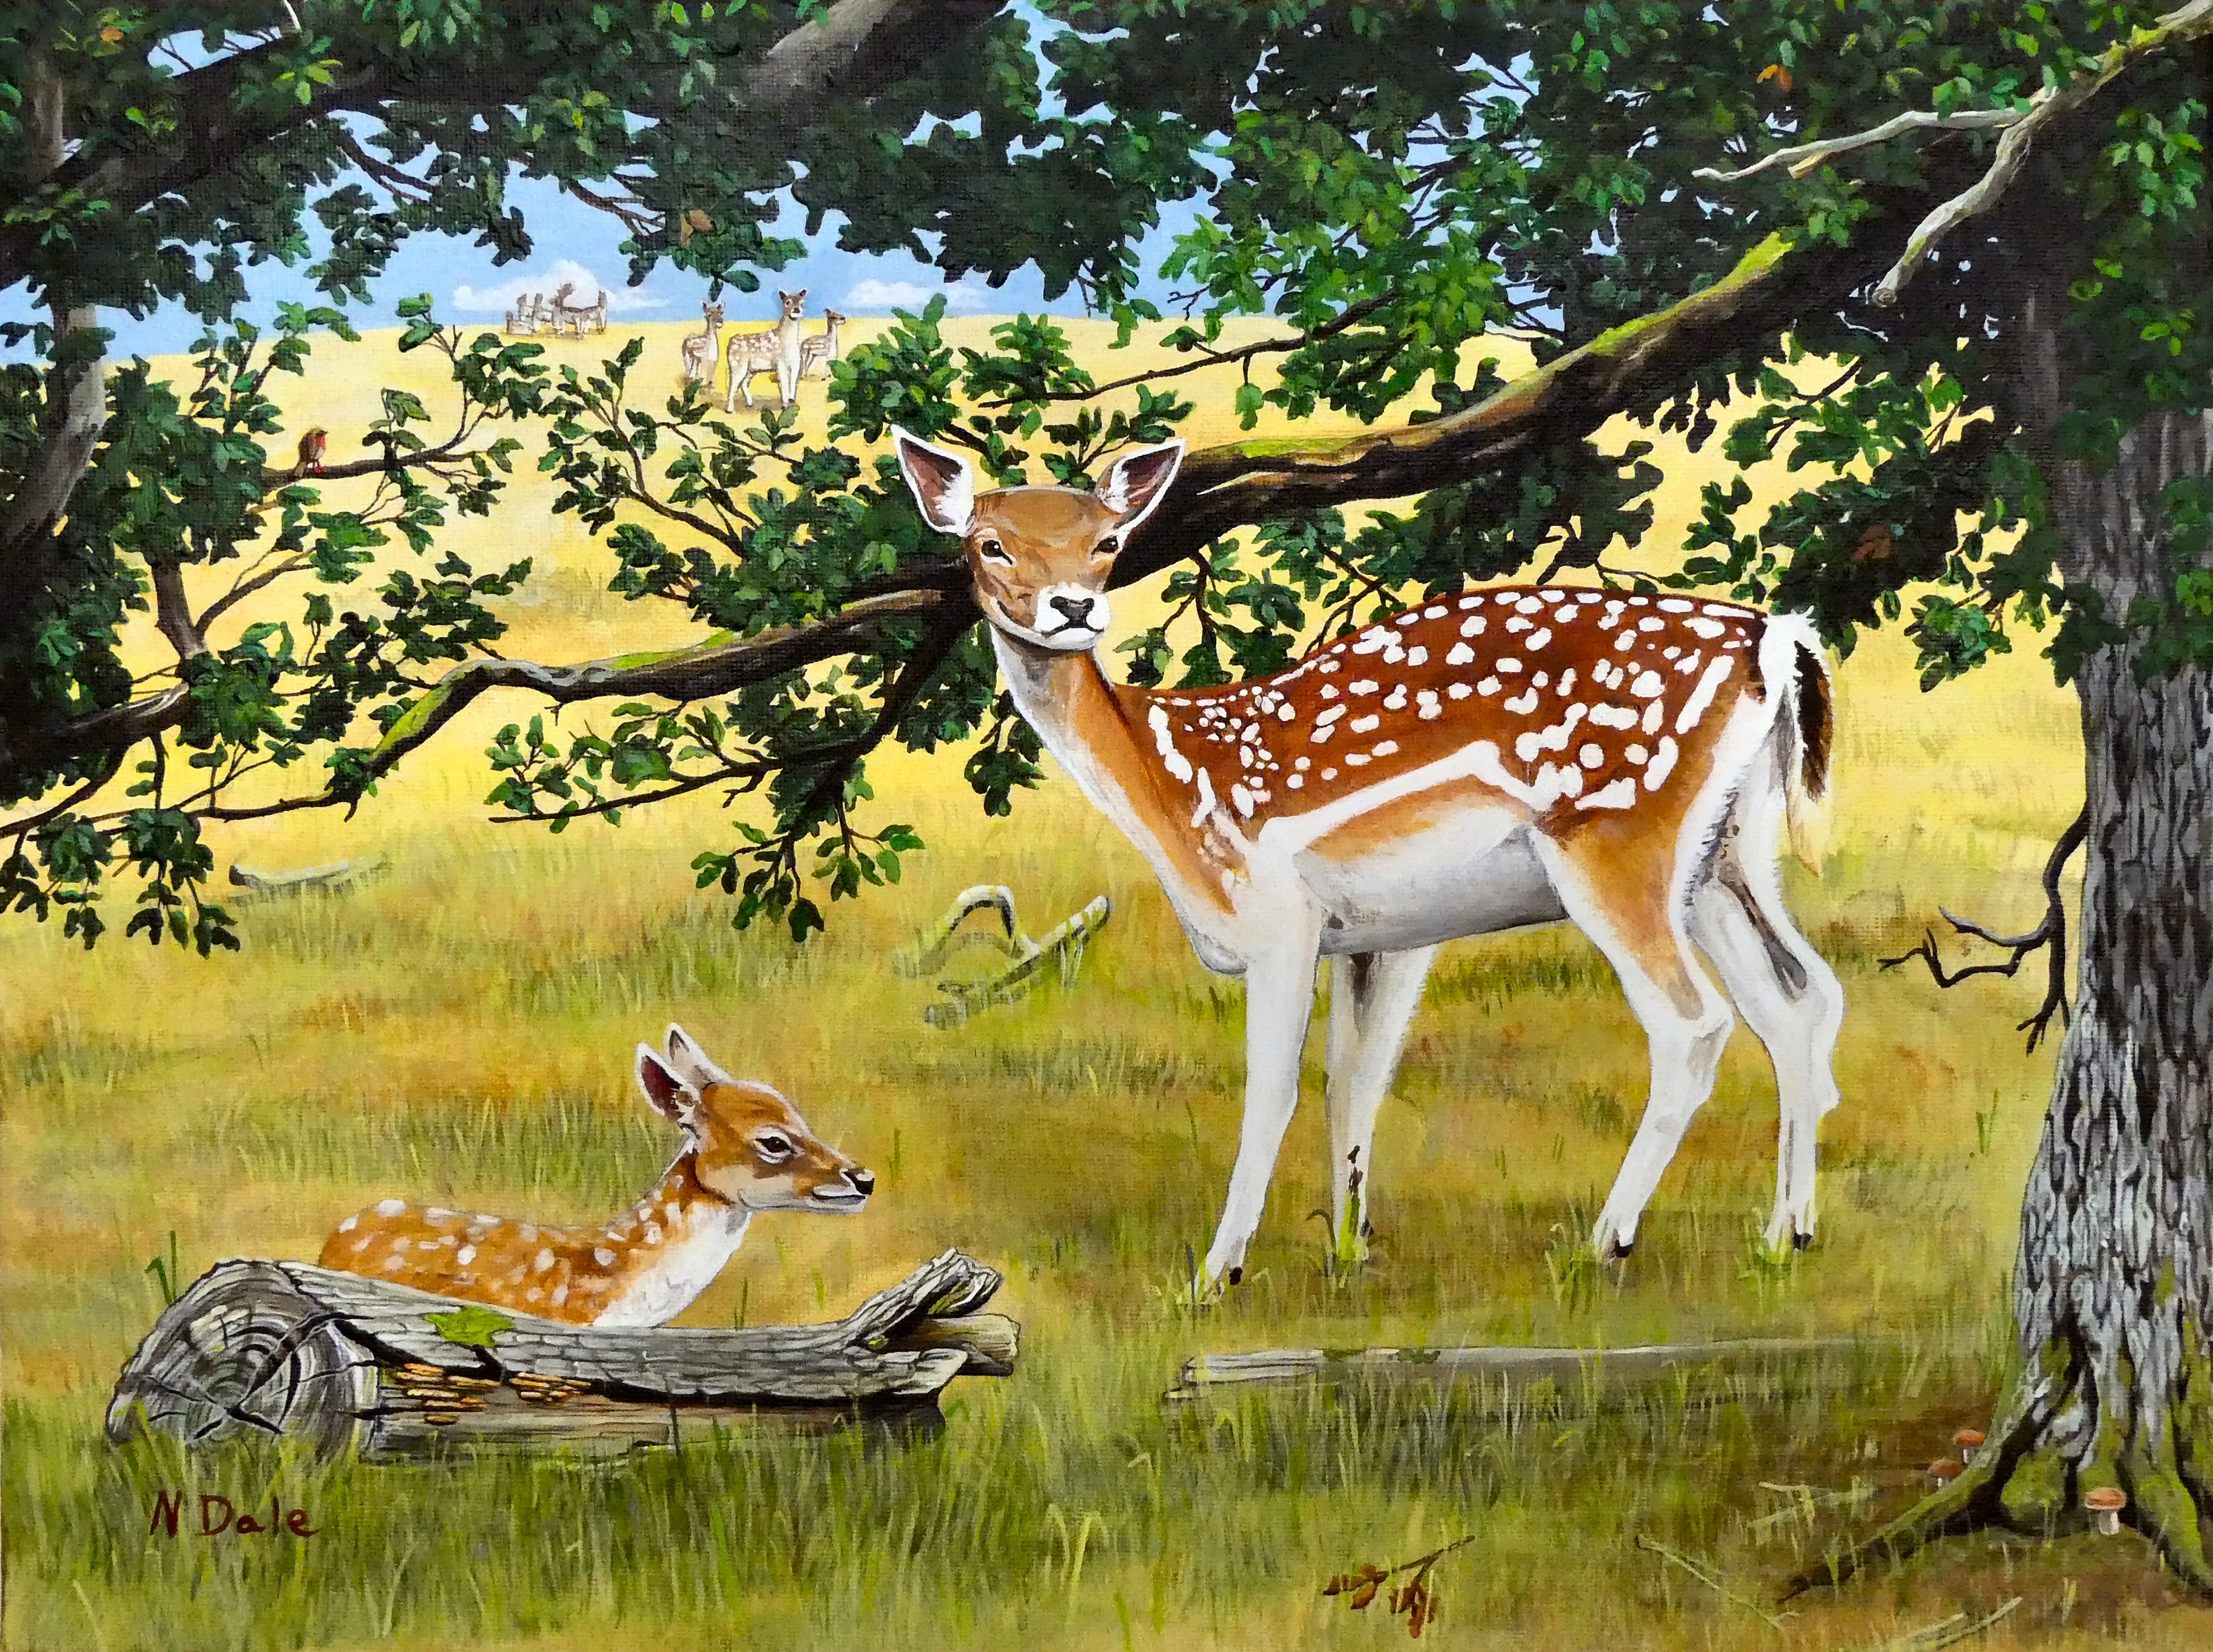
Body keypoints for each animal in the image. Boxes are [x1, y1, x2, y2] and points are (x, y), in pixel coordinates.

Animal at [724, 289, 809, 411]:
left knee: (743, 383)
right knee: (733, 385)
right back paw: (730, 409)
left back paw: (749, 403)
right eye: (787, 302)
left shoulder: (796, 363)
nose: (796, 310)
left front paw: (791, 401)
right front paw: (785, 405)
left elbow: (793, 383)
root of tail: (731, 342)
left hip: (751, 369)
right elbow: (784, 383)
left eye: (802, 303)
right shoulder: (780, 363)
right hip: (737, 365)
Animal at [892, 429, 1846, 1299]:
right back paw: (1786, 1236)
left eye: (1107, 542)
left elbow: (1273, 1093)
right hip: (1726, 857)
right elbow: (1354, 1084)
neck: (1170, 786)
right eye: (989, 543)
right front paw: (1348, 1253)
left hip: (1618, 837)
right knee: (1804, 998)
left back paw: (1604, 1242)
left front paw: (1215, 1275)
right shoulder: (1382, 936)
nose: (1072, 609)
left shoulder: (1281, 923)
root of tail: (1776, 641)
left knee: (1696, 1025)